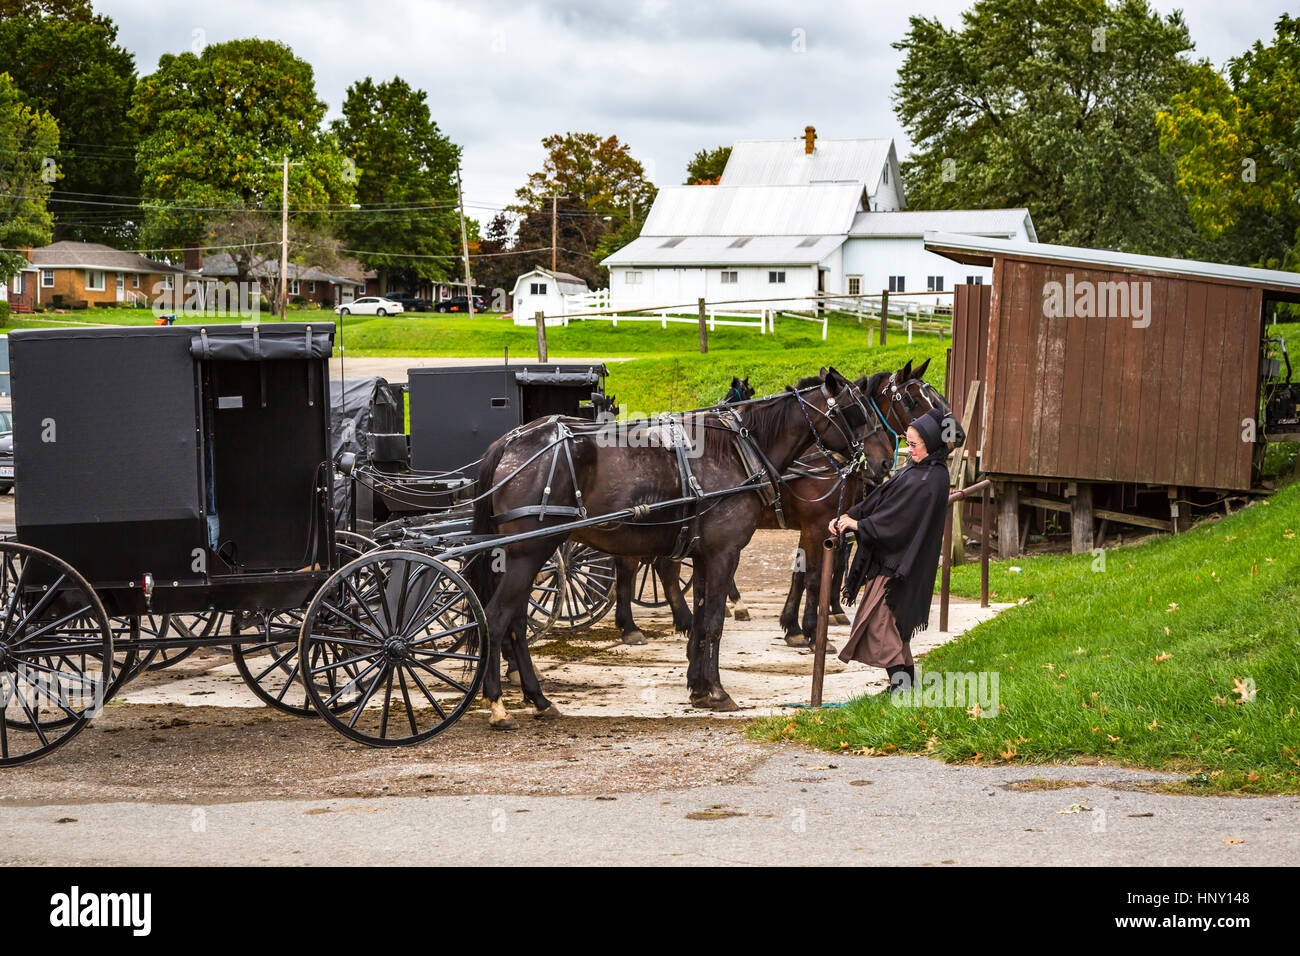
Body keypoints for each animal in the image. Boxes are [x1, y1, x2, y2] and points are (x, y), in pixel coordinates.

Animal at [471, 367, 869, 727]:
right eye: (856, 411)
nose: (874, 465)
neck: (737, 452)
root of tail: (511, 441)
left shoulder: (704, 555)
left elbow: (702, 620)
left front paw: (698, 688)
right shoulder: (727, 553)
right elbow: (714, 621)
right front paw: (718, 692)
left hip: (524, 554)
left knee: (516, 621)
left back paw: (538, 698)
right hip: (530, 551)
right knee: (495, 618)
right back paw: (498, 704)